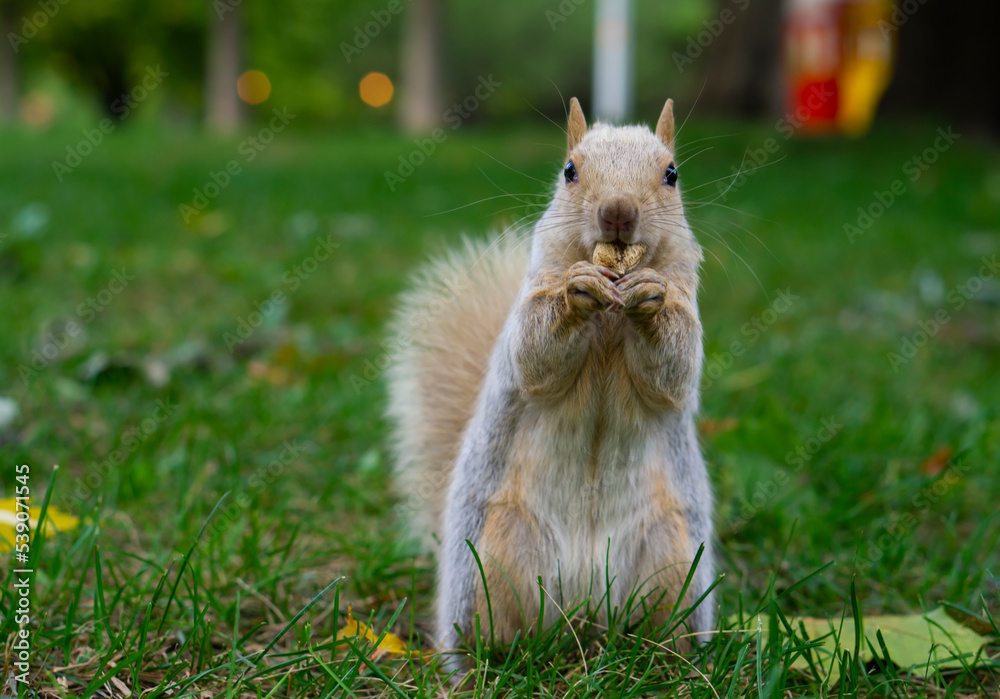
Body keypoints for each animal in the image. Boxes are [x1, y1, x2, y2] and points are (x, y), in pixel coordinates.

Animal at [387, 97, 714, 664]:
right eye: (569, 170)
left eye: (672, 174)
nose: (618, 212)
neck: (611, 322)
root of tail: (585, 611)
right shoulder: (535, 297)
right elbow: (535, 354)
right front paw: (573, 292)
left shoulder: (684, 305)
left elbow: (675, 369)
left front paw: (652, 299)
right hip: (494, 559)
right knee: (498, 633)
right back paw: (487, 662)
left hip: (672, 559)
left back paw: (668, 659)